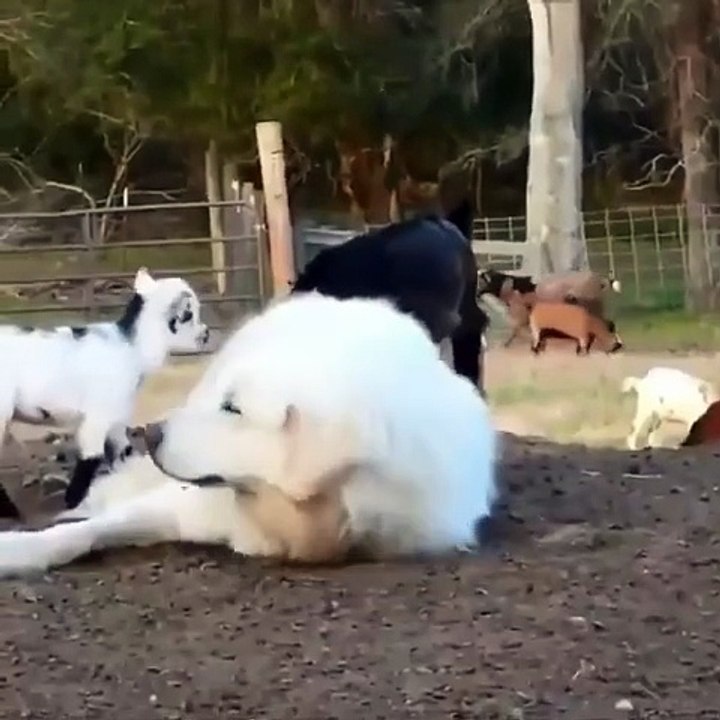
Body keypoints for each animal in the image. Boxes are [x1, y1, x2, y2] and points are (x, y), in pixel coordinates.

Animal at [0, 268, 209, 516]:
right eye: (187, 314)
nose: (206, 334)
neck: (132, 349)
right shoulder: (98, 415)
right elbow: (91, 457)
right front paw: (73, 503)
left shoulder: (117, 416)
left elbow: (125, 452)